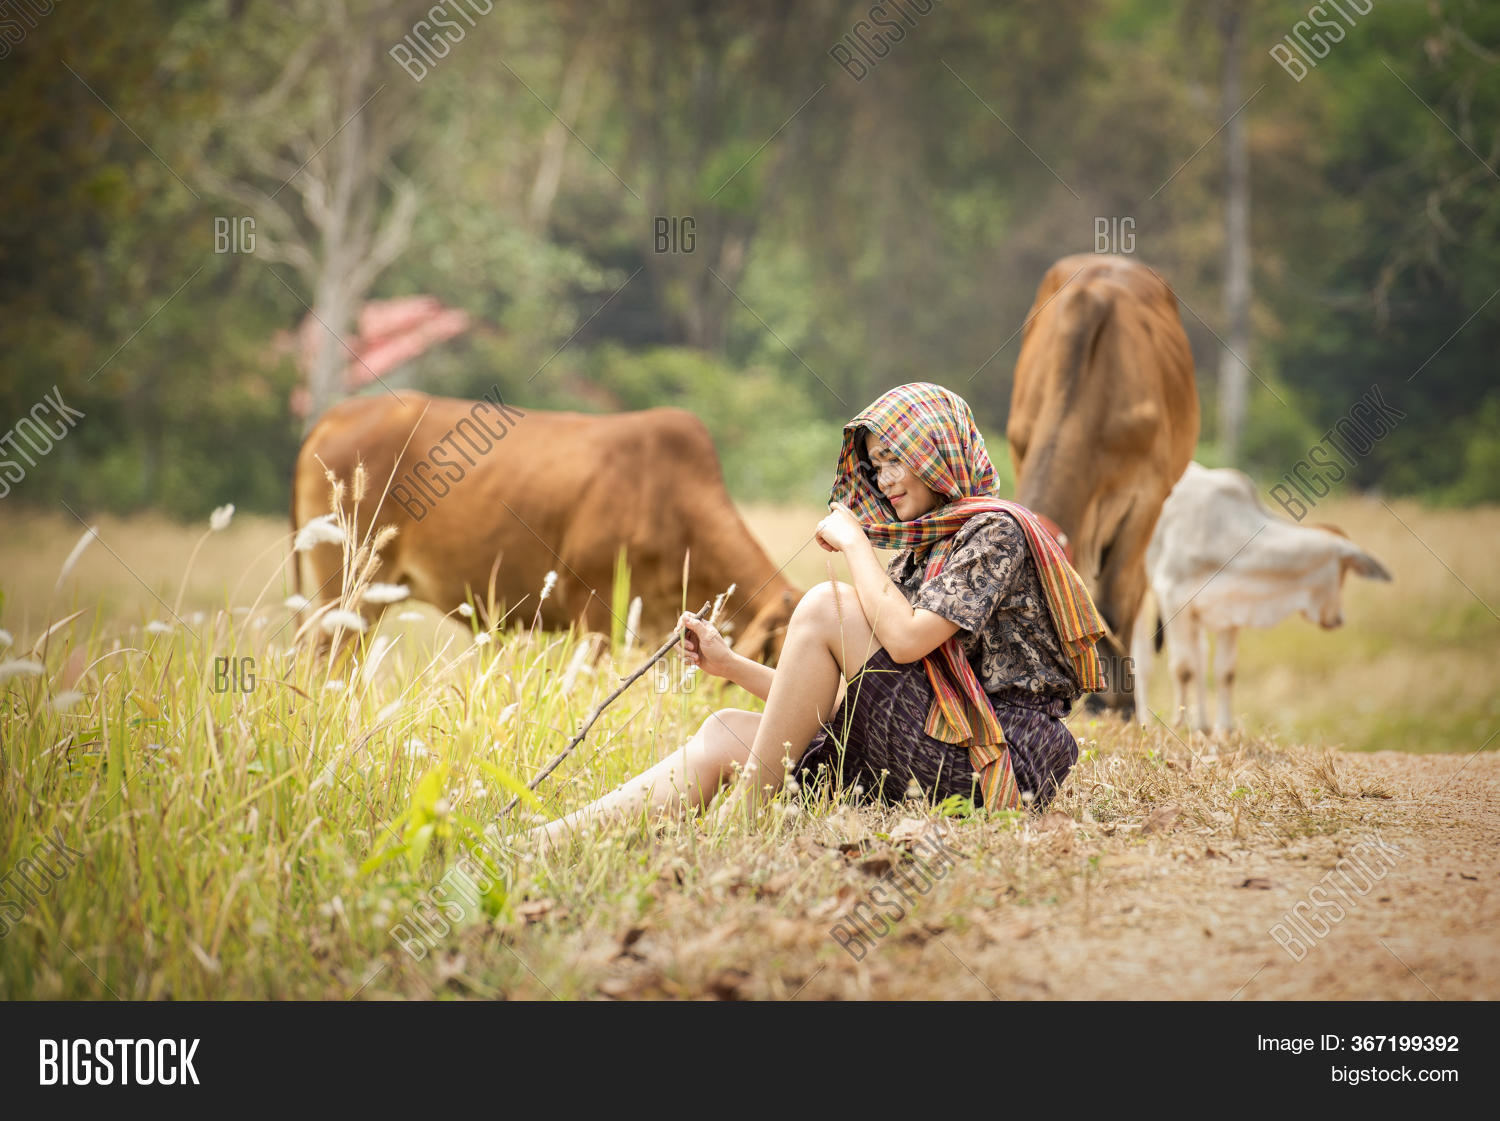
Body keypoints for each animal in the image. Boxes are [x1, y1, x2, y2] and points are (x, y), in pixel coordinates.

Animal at [1130, 461, 1392, 732]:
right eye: (1342, 572)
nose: (1338, 618)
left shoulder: (1230, 610)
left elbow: (1225, 672)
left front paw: (1225, 730)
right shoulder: (1172, 598)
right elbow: (1183, 669)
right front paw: (1180, 725)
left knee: (1200, 654)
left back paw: (1202, 725)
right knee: (1143, 658)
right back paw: (1144, 720)